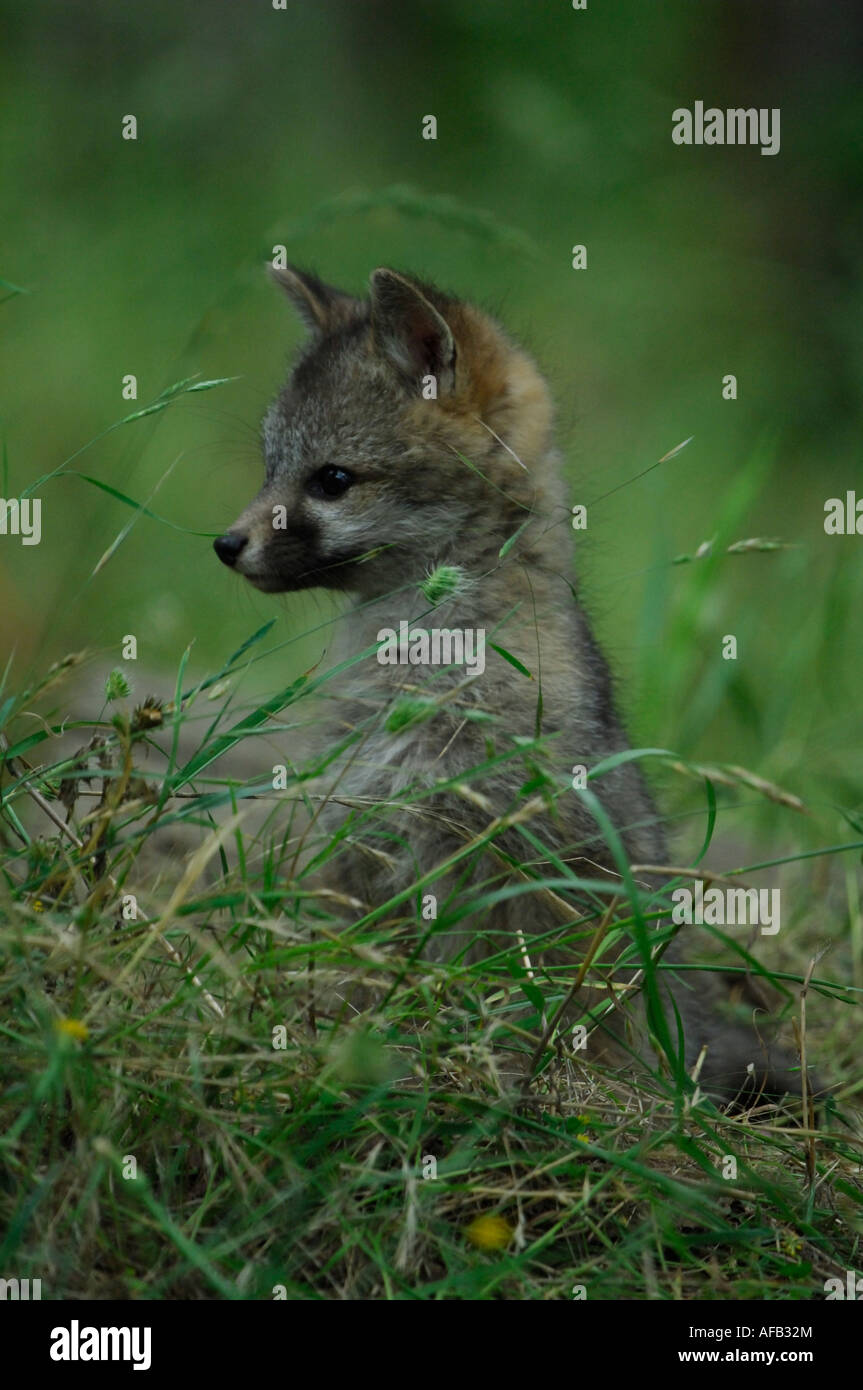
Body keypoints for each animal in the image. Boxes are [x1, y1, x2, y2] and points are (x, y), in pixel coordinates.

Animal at [213, 263, 814, 1107]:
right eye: (269, 467)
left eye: (331, 480)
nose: (225, 545)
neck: (424, 665)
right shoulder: (371, 846)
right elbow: (370, 982)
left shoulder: (509, 862)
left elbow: (509, 997)